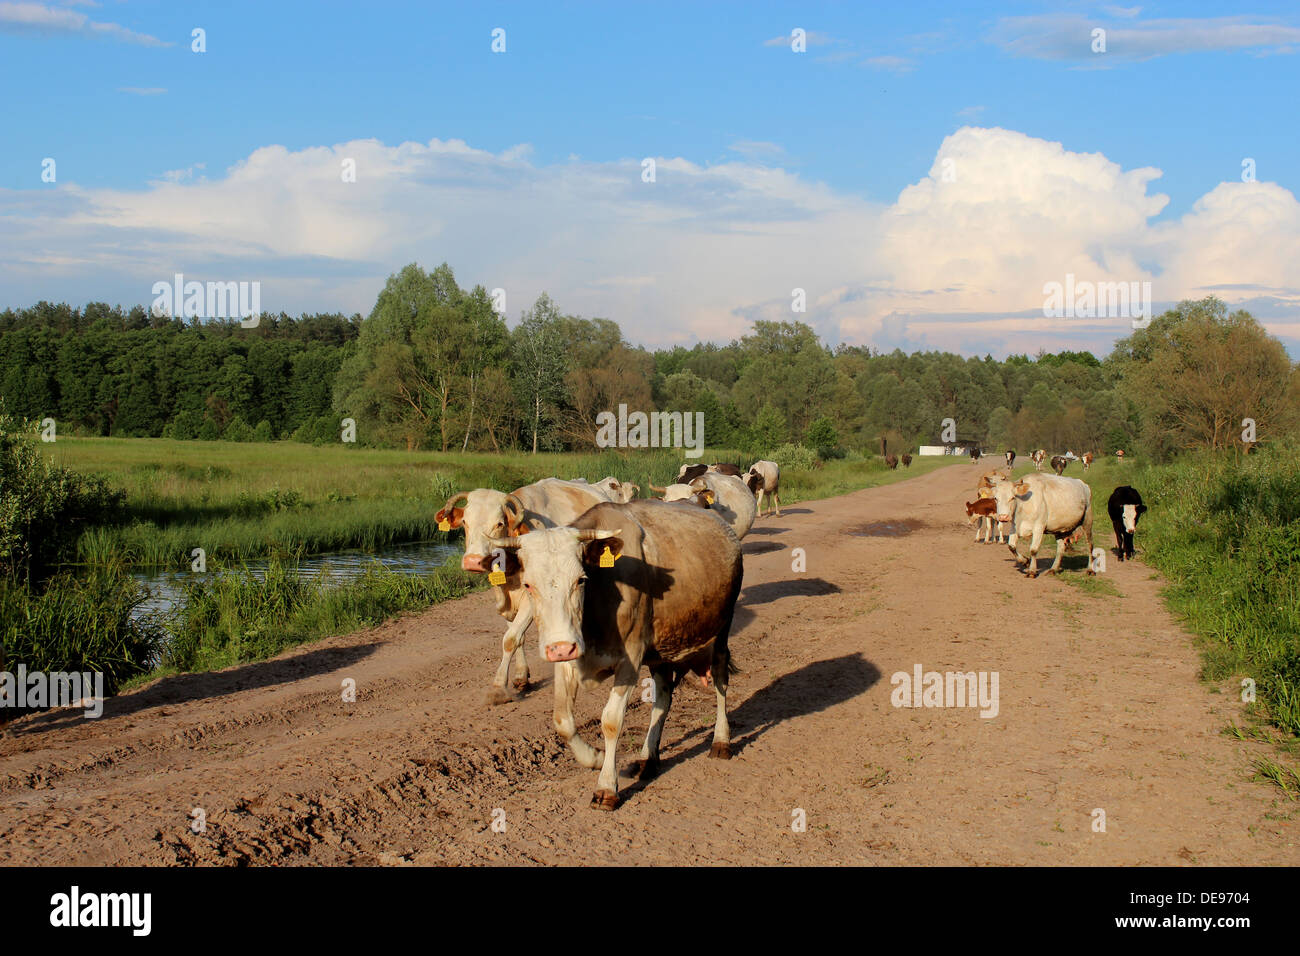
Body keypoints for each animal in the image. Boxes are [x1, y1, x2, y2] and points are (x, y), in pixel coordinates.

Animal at [435, 478, 614, 703]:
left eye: (499, 523)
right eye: (466, 522)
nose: (473, 561)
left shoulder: (532, 600)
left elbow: (510, 639)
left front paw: (498, 688)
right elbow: (516, 636)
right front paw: (521, 676)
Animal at [487, 500, 743, 810]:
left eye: (580, 580)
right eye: (527, 584)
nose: (561, 648)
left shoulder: (630, 658)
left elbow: (611, 721)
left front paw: (607, 787)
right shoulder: (569, 657)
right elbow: (562, 721)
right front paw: (594, 757)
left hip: (722, 627)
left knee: (720, 679)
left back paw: (721, 741)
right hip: (661, 650)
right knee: (663, 697)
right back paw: (648, 758)